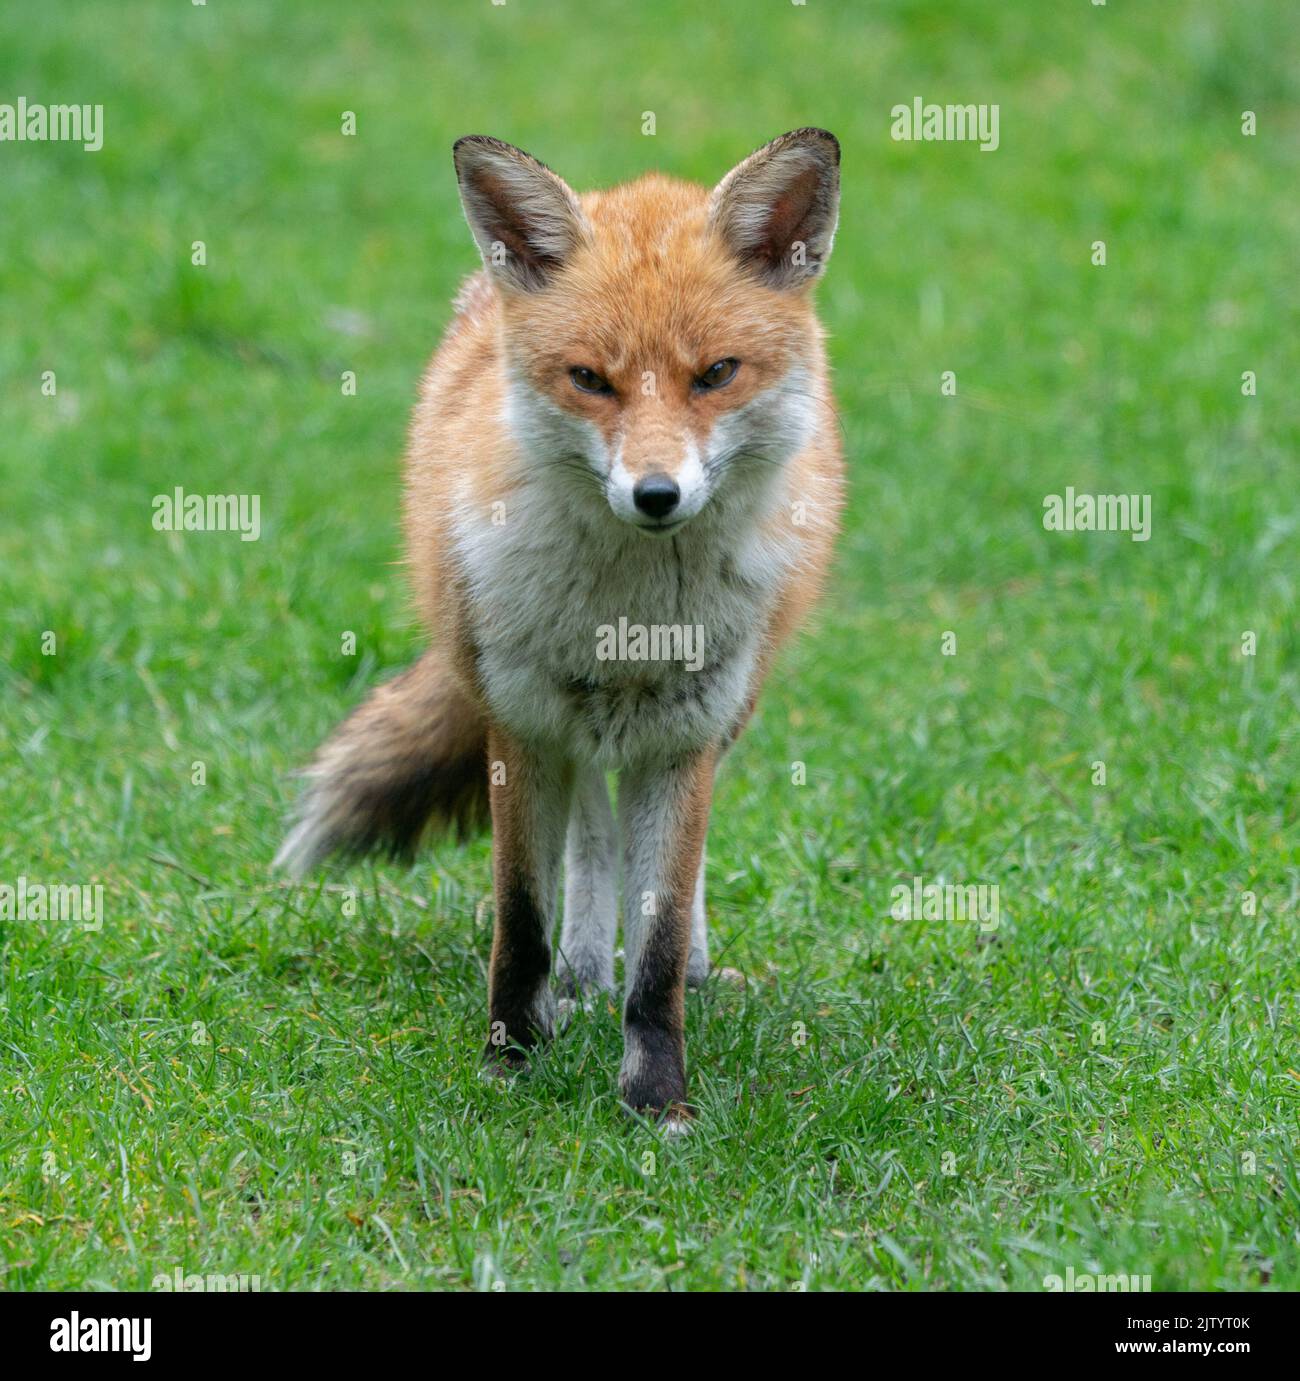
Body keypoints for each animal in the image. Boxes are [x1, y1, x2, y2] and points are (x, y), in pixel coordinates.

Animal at [276, 128, 844, 1126]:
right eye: (590, 380)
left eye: (716, 374)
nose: (656, 495)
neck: (629, 621)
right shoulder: (522, 727)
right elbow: (521, 919)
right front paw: (510, 1059)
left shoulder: (685, 738)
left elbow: (658, 945)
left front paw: (656, 1100)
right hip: (564, 721)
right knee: (591, 836)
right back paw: (578, 978)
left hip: (714, 717)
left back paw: (682, 972)